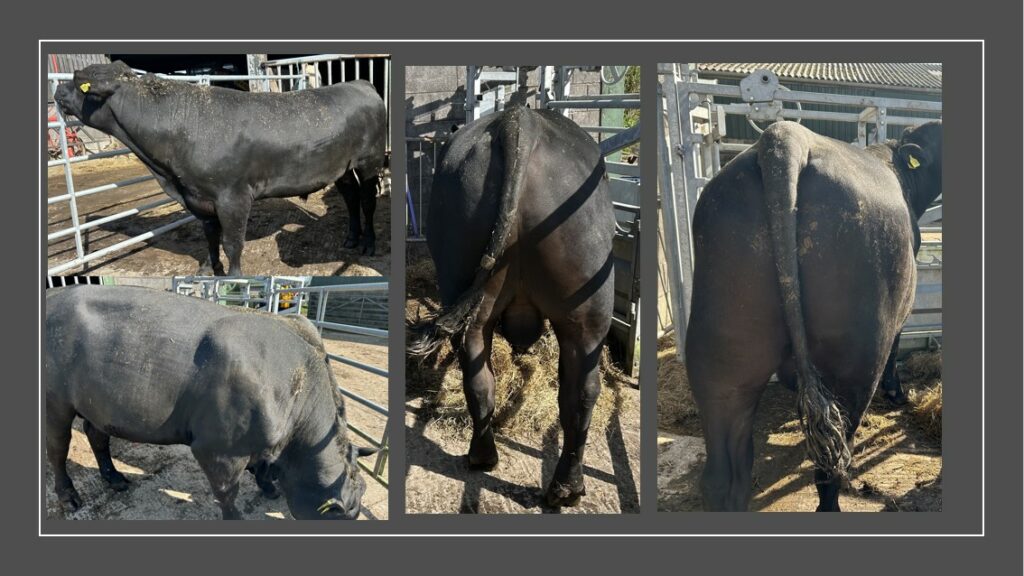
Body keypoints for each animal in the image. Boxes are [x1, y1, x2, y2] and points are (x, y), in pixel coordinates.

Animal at [45, 285, 374, 520]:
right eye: (345, 516)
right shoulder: (218, 449)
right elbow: (227, 492)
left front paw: (268, 488)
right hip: (55, 401)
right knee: (57, 448)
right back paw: (69, 497)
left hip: (99, 403)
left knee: (96, 434)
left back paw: (114, 478)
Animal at [53, 61, 386, 276]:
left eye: (80, 81)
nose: (57, 90)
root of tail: (360, 83)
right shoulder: (199, 197)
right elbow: (211, 236)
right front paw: (208, 269)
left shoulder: (233, 198)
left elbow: (232, 243)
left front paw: (235, 279)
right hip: (342, 168)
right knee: (350, 197)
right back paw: (351, 238)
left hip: (369, 161)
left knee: (368, 200)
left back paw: (369, 244)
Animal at [408, 105, 615, 508]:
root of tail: (519, 120)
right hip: (589, 312)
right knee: (582, 392)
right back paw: (566, 487)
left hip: (469, 288)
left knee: (480, 379)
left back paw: (487, 458)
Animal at [685, 120, 942, 511]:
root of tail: (785, 137)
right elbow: (897, 349)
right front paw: (897, 393)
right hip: (854, 359)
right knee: (831, 461)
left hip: (721, 351)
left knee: (724, 473)